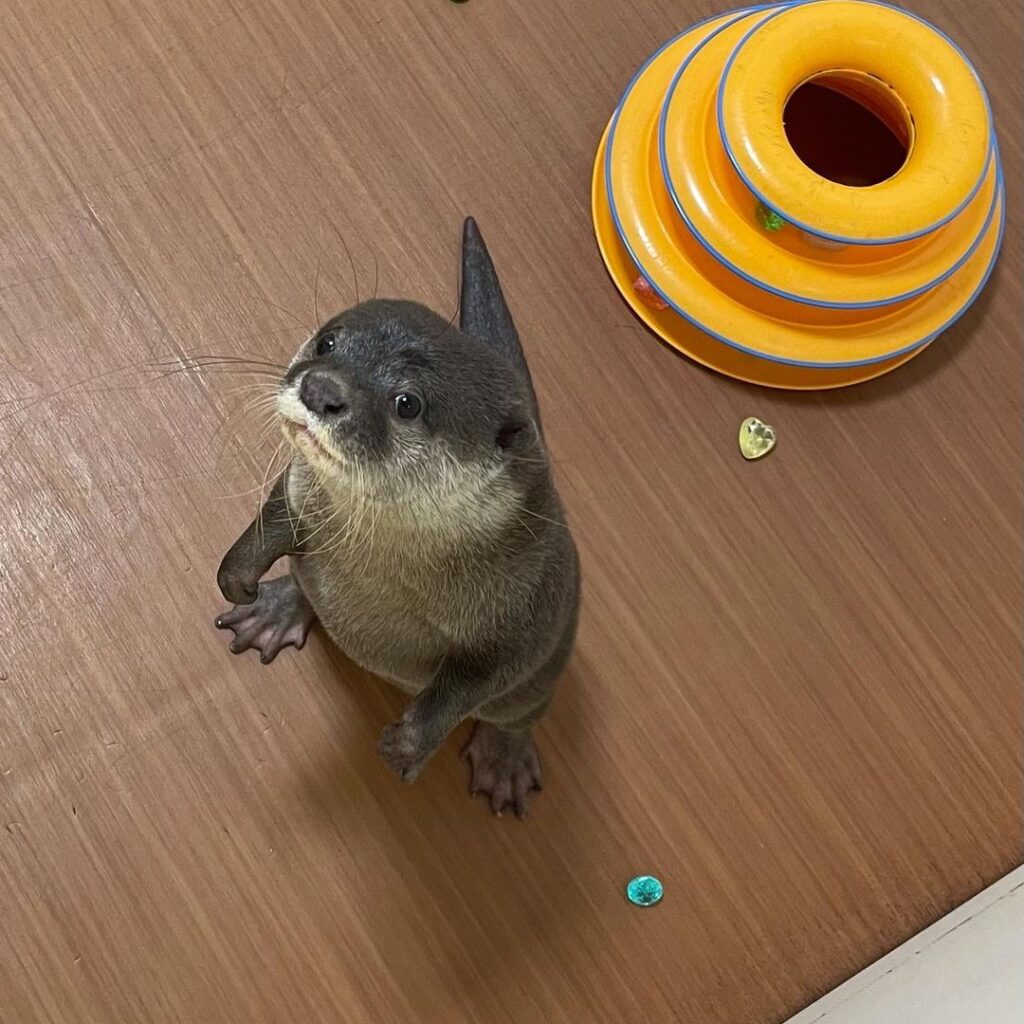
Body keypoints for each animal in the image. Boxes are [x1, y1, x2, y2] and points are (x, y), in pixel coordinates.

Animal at [214, 218, 579, 817]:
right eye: (329, 342)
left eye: (407, 402)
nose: (321, 387)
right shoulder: (298, 486)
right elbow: (271, 518)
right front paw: (238, 578)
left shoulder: (527, 610)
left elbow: (475, 678)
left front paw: (410, 743)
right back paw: (275, 609)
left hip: (544, 674)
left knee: (519, 712)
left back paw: (504, 763)